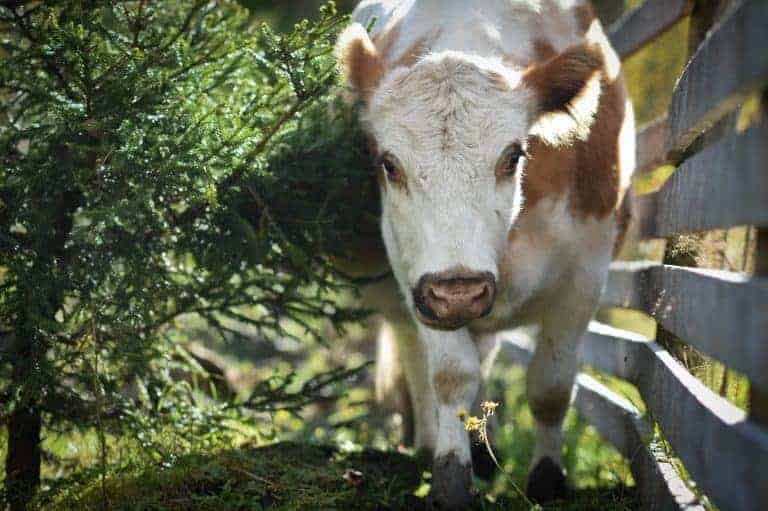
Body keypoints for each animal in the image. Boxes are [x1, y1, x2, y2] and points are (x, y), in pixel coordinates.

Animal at [335, 0, 635, 507]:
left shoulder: (585, 276)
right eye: (389, 164)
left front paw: (547, 478)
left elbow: (551, 386)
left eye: (512, 156)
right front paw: (451, 473)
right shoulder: (418, 280)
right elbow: (449, 375)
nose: (460, 291)